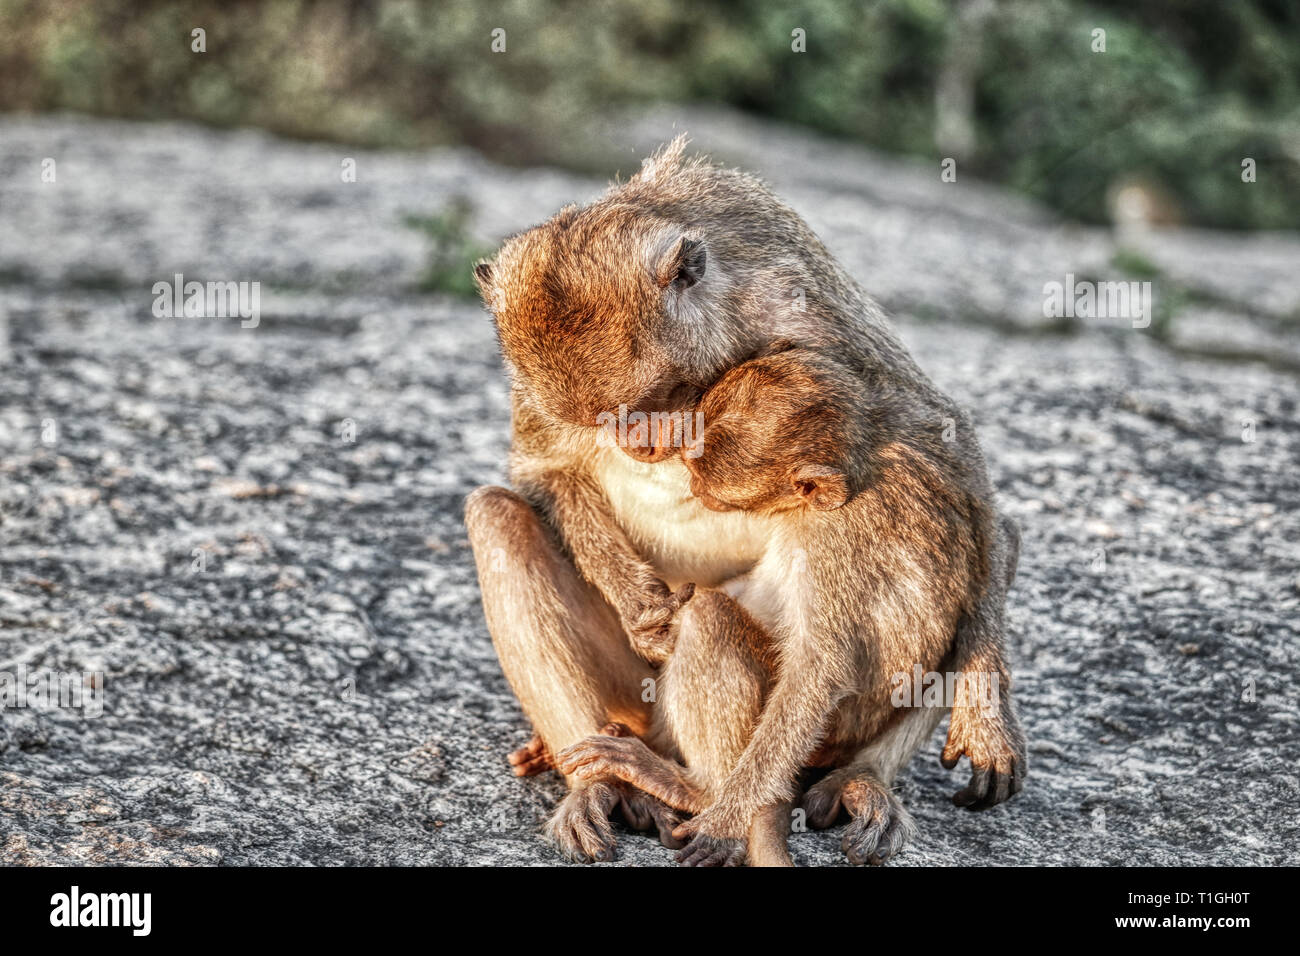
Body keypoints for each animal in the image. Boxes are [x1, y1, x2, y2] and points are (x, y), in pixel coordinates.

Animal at [555, 346, 1026, 864]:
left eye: (709, 487)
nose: (693, 491)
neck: (860, 465)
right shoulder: (911, 441)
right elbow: (994, 529)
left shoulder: (831, 537)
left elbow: (818, 668)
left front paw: (725, 820)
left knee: (710, 616)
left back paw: (698, 789)